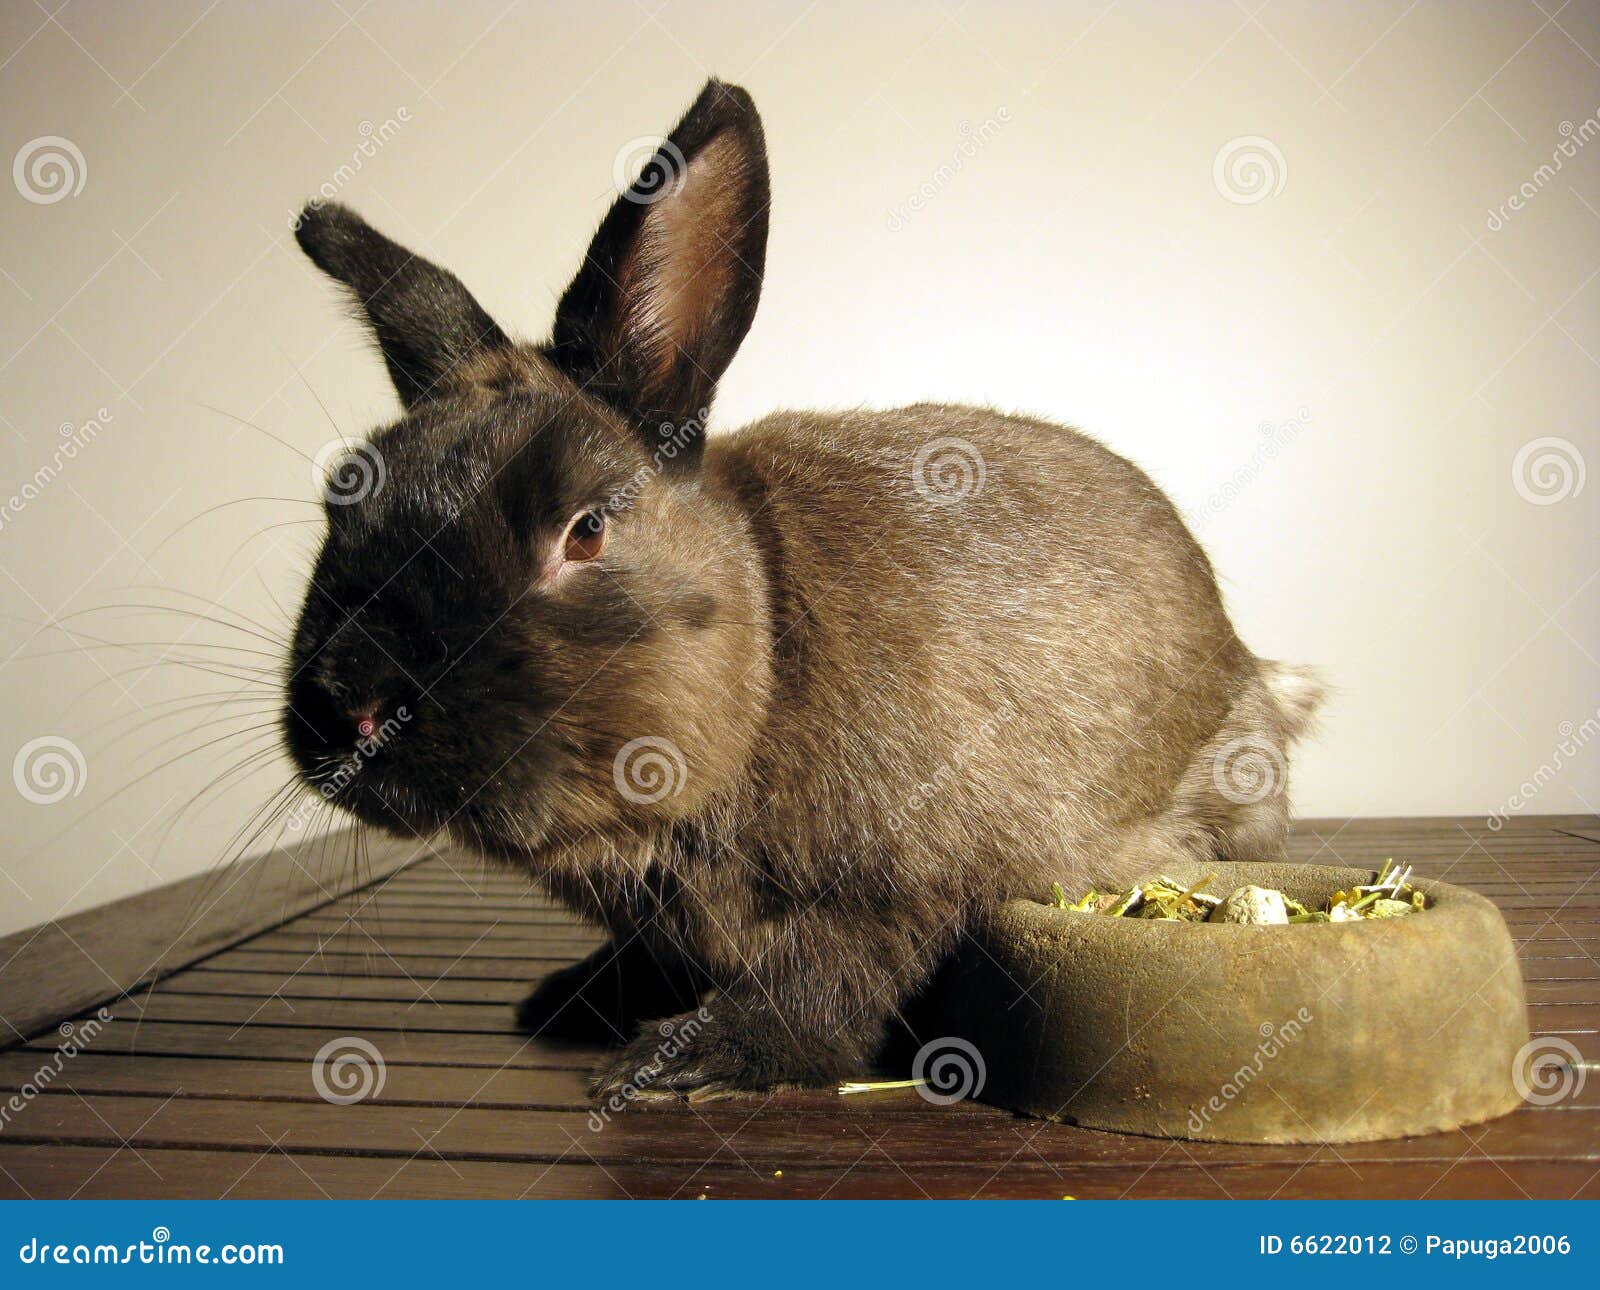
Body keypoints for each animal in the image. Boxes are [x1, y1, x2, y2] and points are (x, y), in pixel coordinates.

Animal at [282, 79, 1323, 1098]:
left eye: (585, 529)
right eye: (344, 496)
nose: (351, 705)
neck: (762, 661)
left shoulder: (892, 891)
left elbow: (827, 989)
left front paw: (678, 1064)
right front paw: (573, 1003)